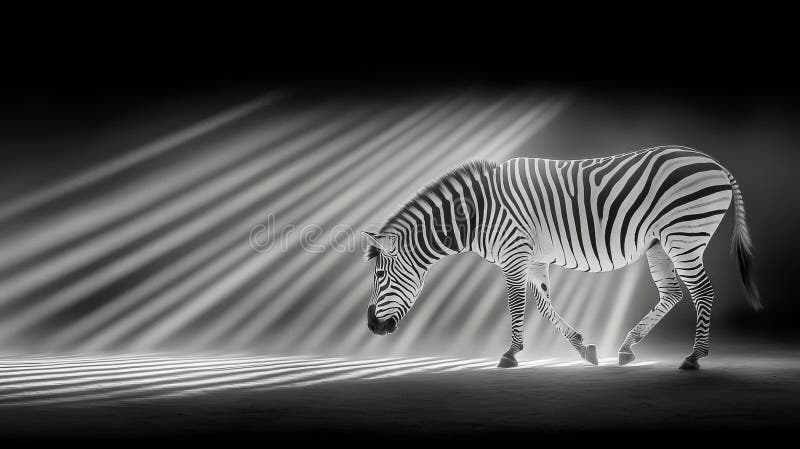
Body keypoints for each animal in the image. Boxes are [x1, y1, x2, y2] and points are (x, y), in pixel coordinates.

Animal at [363, 146, 761, 370]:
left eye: (379, 276)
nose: (371, 327)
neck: (479, 213)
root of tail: (714, 163)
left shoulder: (514, 253)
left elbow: (516, 303)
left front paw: (510, 354)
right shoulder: (533, 258)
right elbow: (543, 304)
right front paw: (583, 348)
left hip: (684, 236)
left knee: (703, 292)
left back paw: (694, 357)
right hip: (659, 244)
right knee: (673, 293)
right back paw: (628, 347)